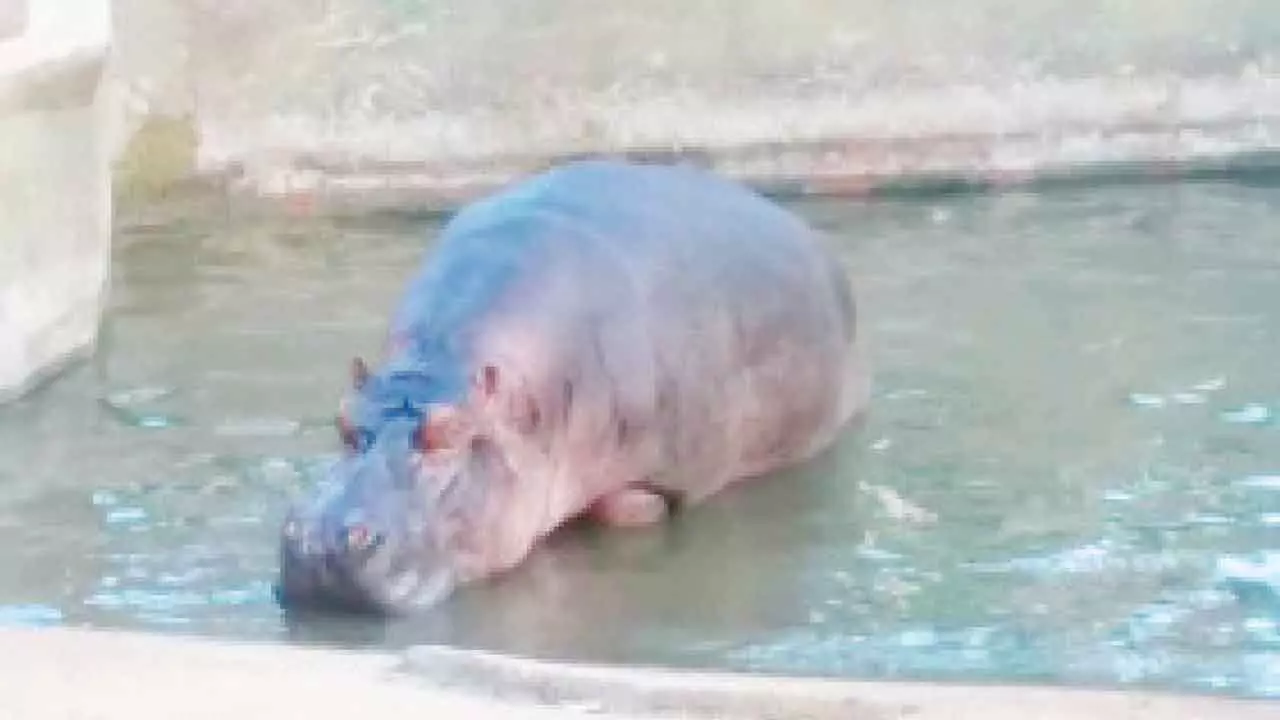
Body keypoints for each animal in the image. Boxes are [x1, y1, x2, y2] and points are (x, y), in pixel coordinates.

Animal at [275, 159, 870, 615]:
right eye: (342, 421)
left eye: (446, 433)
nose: (320, 541)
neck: (444, 365)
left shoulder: (657, 479)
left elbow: (623, 511)